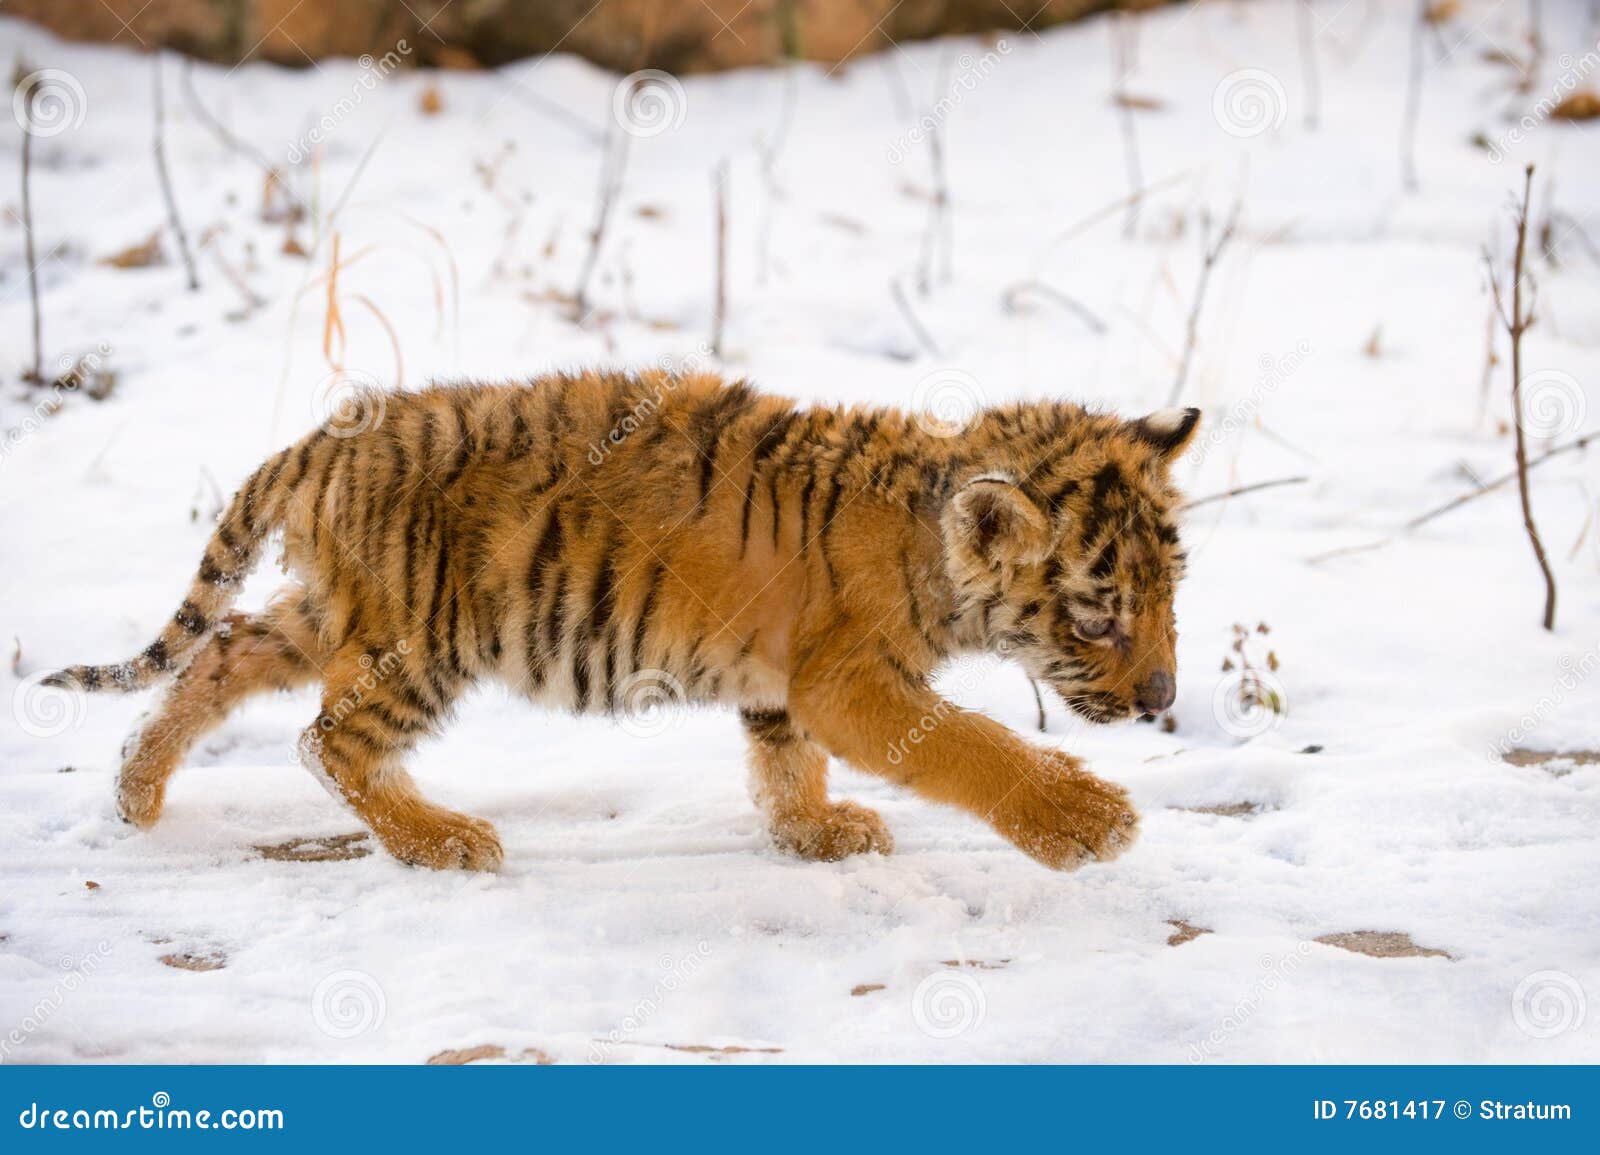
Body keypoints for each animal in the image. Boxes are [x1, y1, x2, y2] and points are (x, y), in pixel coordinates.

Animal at [47, 370, 1199, 873]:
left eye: (1172, 595)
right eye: (1100, 618)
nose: (1163, 697)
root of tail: (324, 440)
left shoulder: (785, 685)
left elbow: (784, 761)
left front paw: (814, 832)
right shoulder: (855, 682)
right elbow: (973, 745)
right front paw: (1086, 822)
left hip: (334, 614)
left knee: (221, 653)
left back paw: (137, 791)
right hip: (420, 638)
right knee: (326, 738)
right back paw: (442, 840)